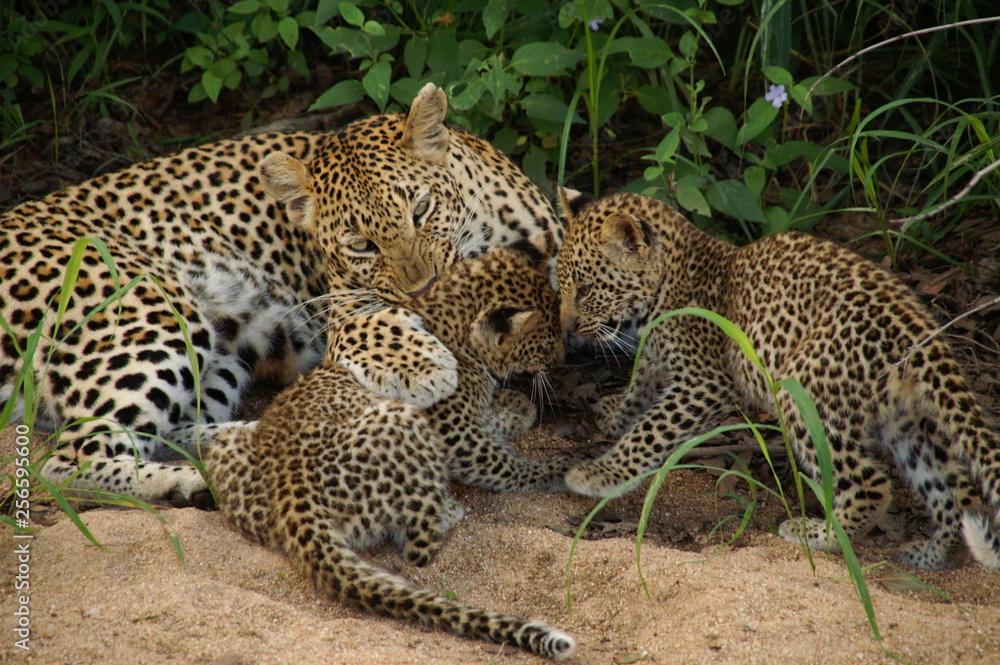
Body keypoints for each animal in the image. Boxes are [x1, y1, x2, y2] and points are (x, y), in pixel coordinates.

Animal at [0, 82, 560, 507]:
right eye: (361, 244)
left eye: (421, 209)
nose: (425, 288)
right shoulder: (344, 308)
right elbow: (378, 326)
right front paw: (424, 367)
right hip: (149, 314)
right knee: (69, 460)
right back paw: (192, 483)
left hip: (221, 360)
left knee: (164, 433)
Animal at [205, 237, 576, 660]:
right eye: (547, 339)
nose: (563, 360)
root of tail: (290, 491)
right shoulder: (457, 439)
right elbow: (509, 466)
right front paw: (562, 466)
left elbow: (493, 423)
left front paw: (515, 408)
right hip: (403, 420)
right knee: (417, 550)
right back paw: (448, 511)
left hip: (227, 441)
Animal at [553, 188, 1000, 571]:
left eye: (586, 288)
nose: (566, 328)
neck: (662, 288)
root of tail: (919, 328)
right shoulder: (660, 355)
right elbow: (641, 382)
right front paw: (615, 413)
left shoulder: (705, 382)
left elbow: (650, 432)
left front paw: (600, 474)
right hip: (907, 424)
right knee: (955, 490)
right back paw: (929, 555)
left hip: (806, 395)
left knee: (870, 483)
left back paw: (818, 535)